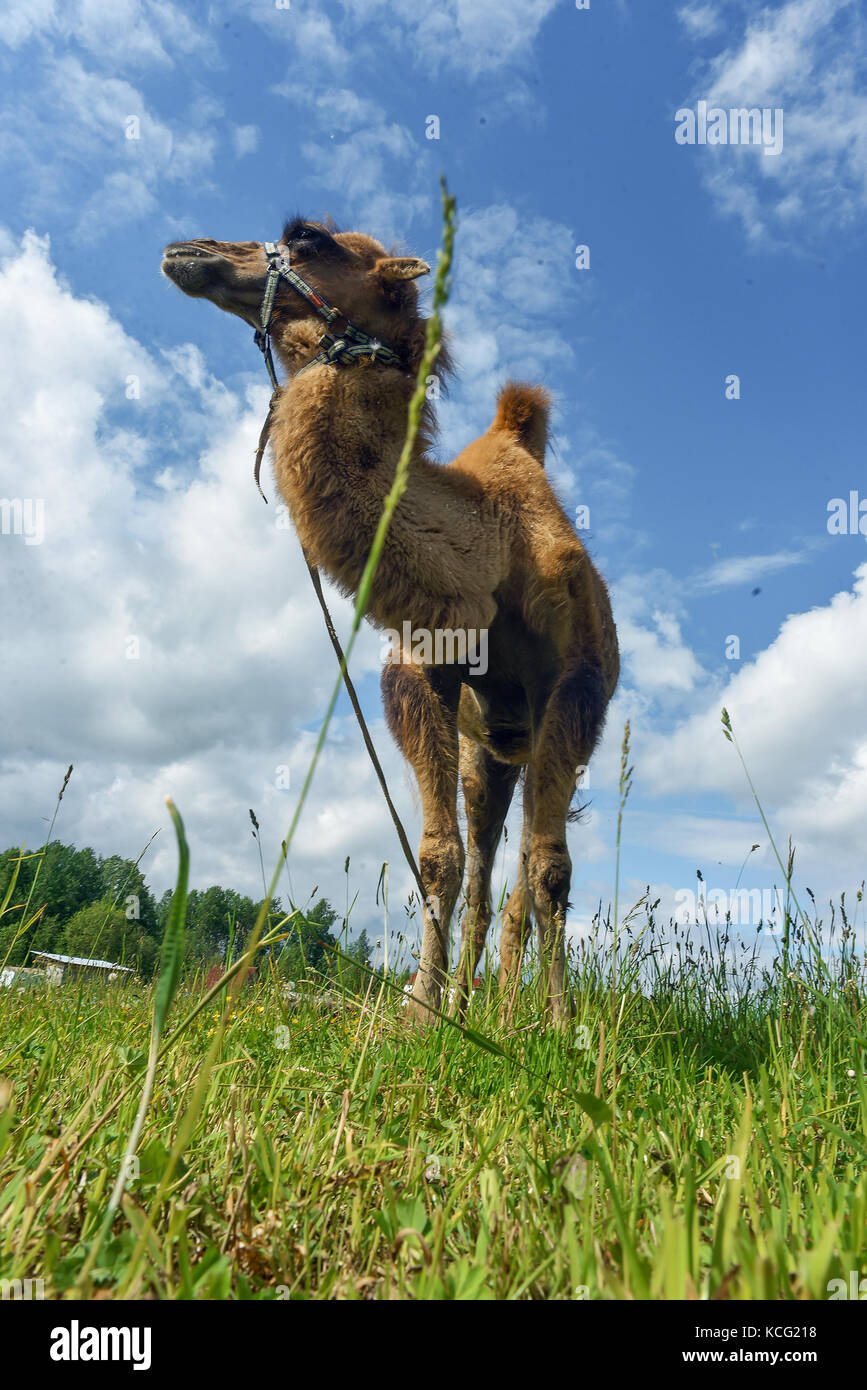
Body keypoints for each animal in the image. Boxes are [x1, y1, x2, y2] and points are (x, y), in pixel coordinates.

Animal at [161, 216, 619, 1024]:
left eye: (307, 237)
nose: (188, 250)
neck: (492, 543)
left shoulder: (578, 682)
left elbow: (551, 870)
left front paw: (566, 1028)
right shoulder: (427, 664)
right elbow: (438, 856)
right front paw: (421, 1016)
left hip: (532, 733)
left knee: (524, 878)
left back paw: (514, 1015)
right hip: (490, 751)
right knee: (484, 879)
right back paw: (476, 1010)